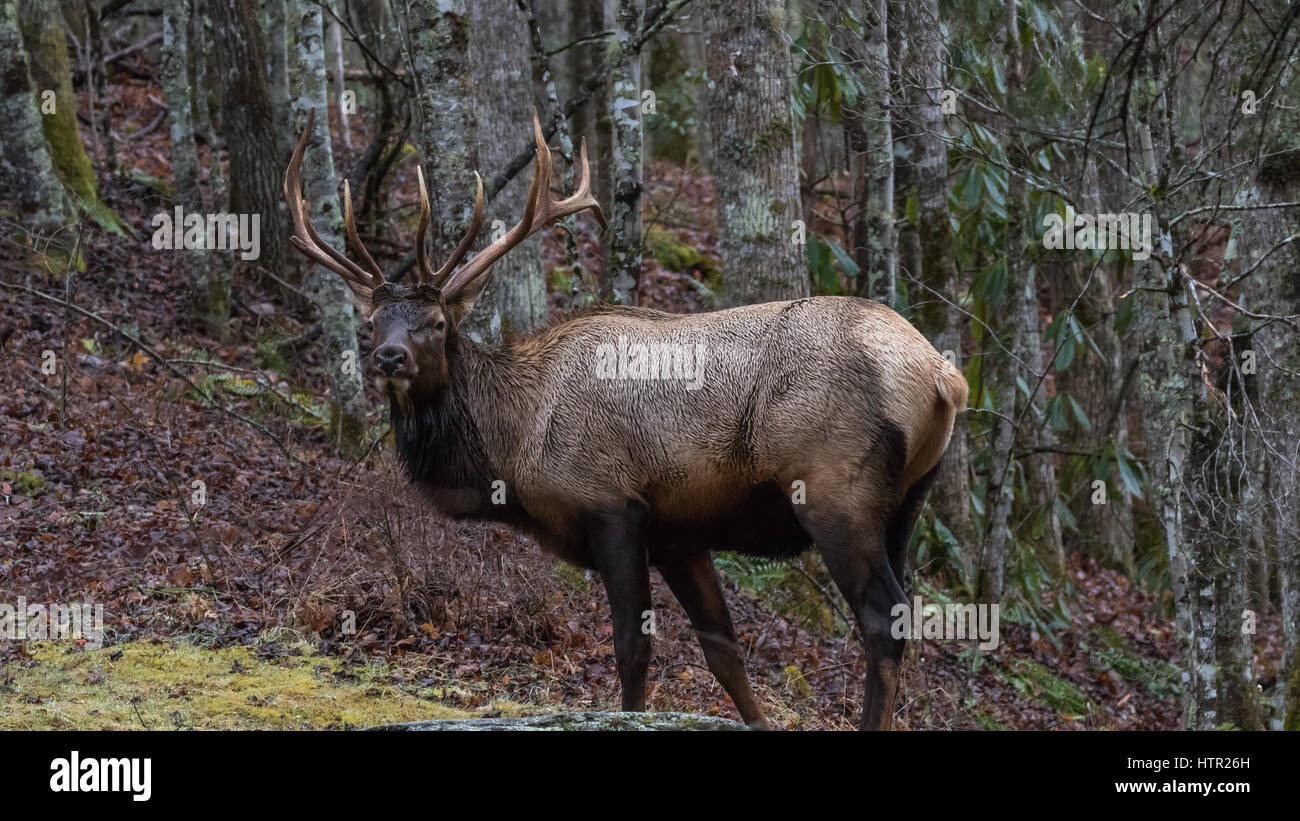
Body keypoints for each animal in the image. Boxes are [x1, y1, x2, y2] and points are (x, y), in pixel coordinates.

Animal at [284, 108, 969, 730]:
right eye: (372, 323)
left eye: (435, 323)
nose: (388, 358)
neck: (514, 448)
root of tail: (943, 376)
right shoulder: (679, 534)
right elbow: (724, 650)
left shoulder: (611, 506)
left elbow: (633, 649)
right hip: (907, 503)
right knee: (902, 613)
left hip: (836, 491)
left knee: (882, 620)